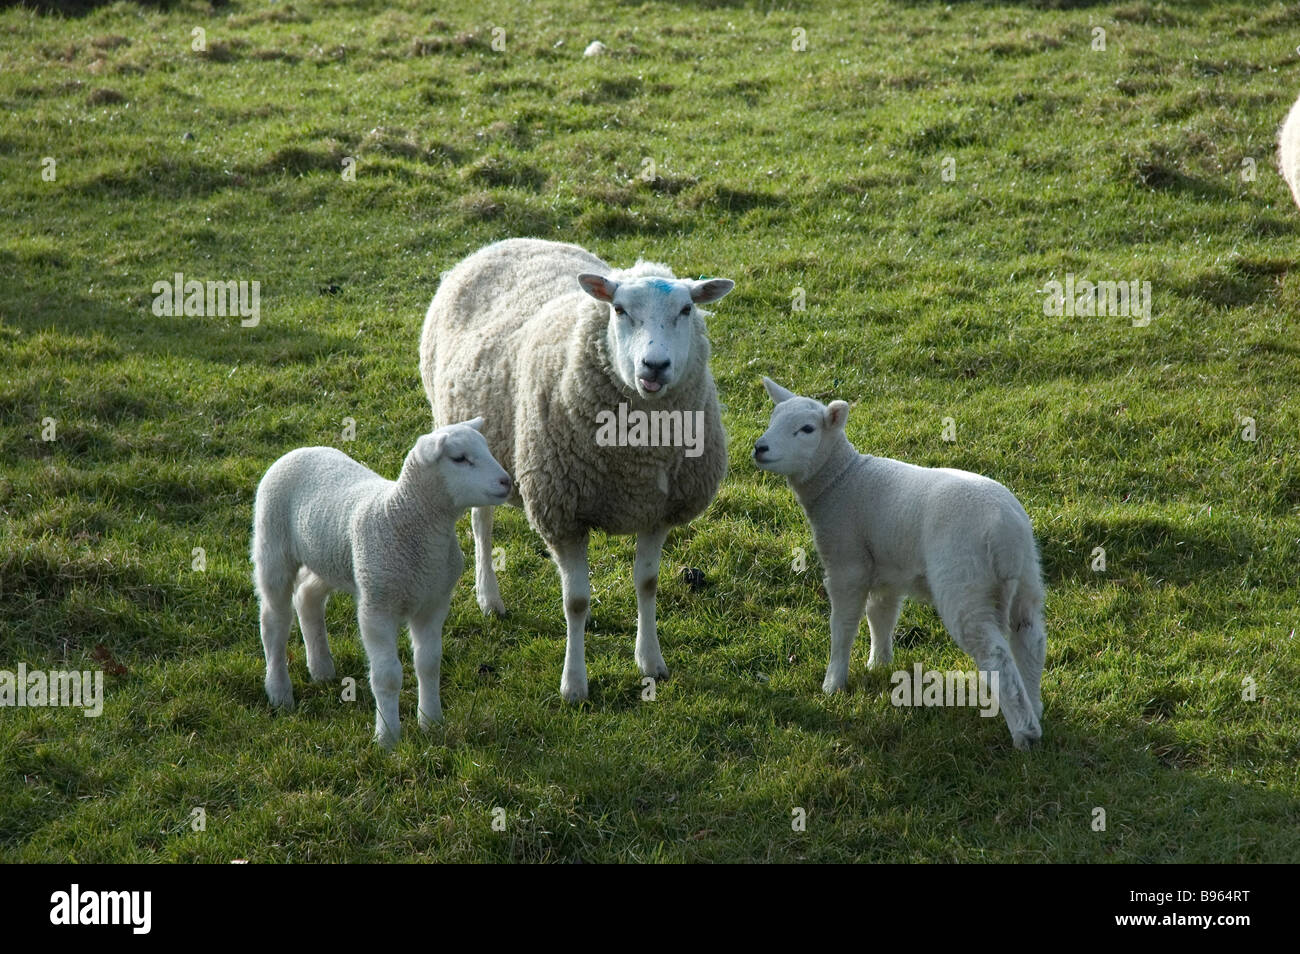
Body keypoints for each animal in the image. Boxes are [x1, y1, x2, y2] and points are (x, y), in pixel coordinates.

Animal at [251, 419, 512, 747]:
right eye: (460, 459)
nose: (507, 482)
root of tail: (300, 450)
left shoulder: (433, 602)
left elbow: (428, 664)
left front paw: (431, 722)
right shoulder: (377, 608)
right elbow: (387, 676)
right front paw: (387, 737)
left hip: (333, 557)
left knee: (308, 596)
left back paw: (321, 669)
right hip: (273, 547)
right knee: (274, 620)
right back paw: (279, 691)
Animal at [419, 238, 734, 702]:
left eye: (686, 309)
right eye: (619, 309)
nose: (654, 366)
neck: (638, 456)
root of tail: (510, 241)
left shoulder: (657, 510)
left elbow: (647, 584)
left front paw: (651, 661)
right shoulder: (563, 515)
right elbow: (577, 603)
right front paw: (574, 684)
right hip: (470, 440)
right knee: (482, 524)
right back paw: (489, 598)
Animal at [752, 378, 1046, 750]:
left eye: (806, 429)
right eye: (773, 418)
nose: (759, 448)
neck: (842, 479)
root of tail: (1006, 532)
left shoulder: (847, 562)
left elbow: (843, 625)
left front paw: (833, 682)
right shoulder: (885, 566)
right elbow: (880, 615)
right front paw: (879, 663)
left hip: (965, 581)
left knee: (995, 654)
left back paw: (1024, 733)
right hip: (1027, 578)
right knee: (1030, 639)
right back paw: (1035, 707)